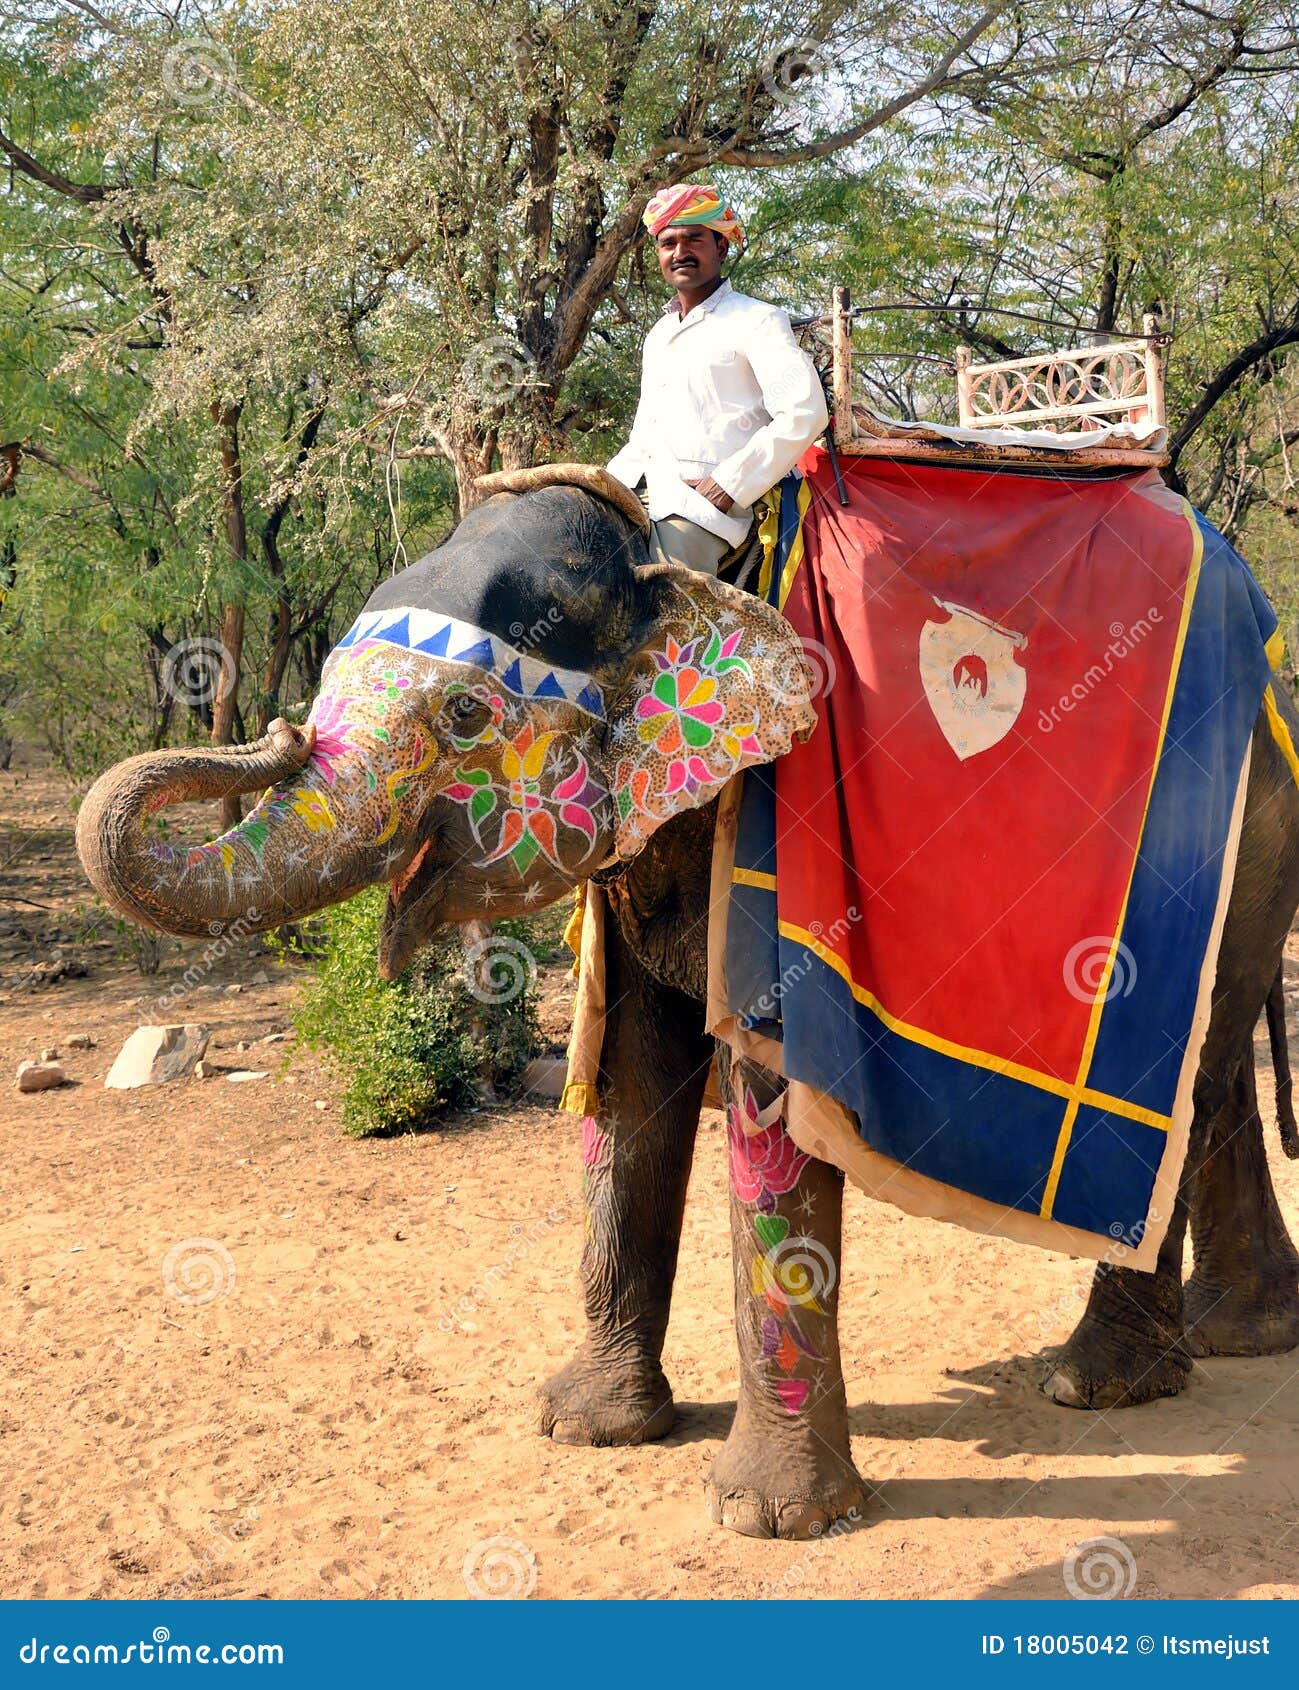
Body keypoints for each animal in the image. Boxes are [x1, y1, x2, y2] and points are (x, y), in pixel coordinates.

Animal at [77, 465, 1299, 1540]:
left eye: (465, 714)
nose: (276, 733)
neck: (671, 570)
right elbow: (628, 1079)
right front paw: (586, 1428)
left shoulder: (776, 836)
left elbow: (768, 1092)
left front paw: (774, 1520)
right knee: (1216, 1069)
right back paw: (1236, 1335)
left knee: (1190, 1075)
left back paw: (1100, 1383)